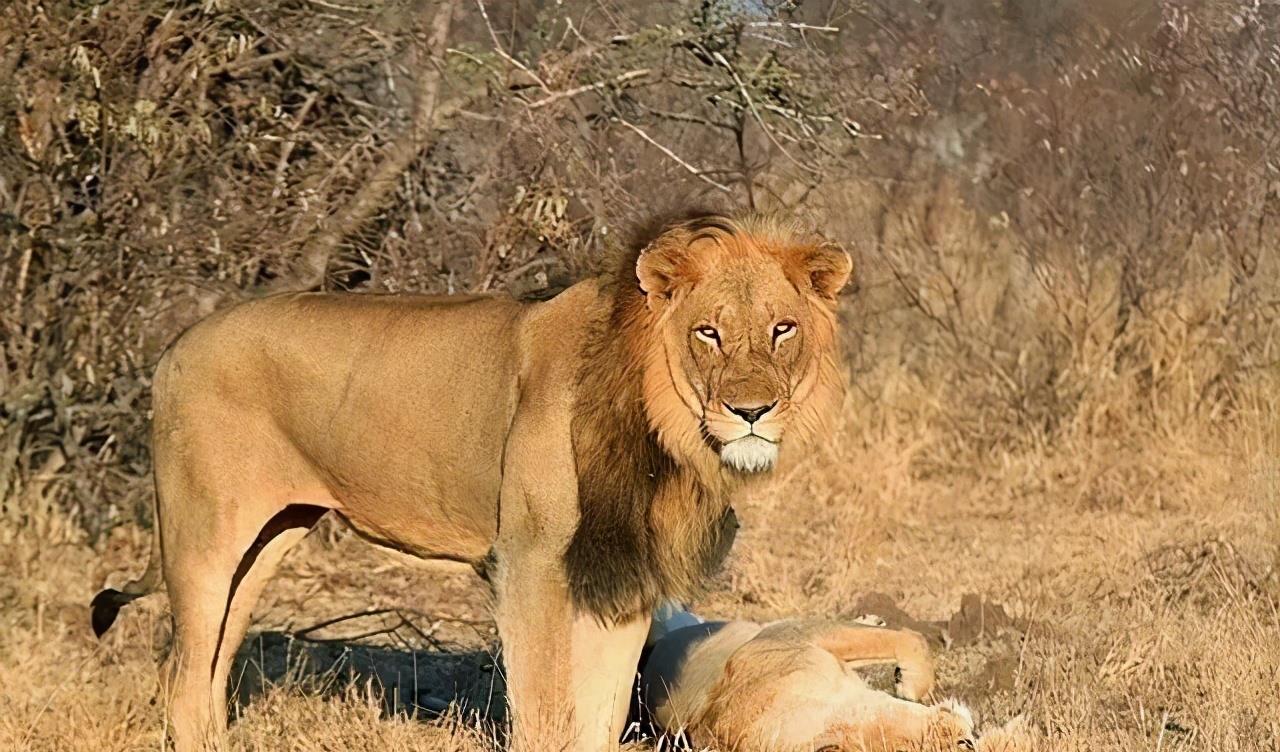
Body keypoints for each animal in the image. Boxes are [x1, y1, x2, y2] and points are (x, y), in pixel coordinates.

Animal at [90, 210, 852, 752]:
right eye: (707, 333)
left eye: (783, 330)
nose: (751, 411)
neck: (665, 438)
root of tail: (176, 346)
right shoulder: (529, 563)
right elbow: (545, 713)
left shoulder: (624, 577)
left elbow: (599, 717)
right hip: (204, 538)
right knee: (182, 677)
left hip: (269, 538)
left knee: (209, 666)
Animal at [640, 604, 979, 751]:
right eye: (962, 746)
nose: (969, 737)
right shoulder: (796, 635)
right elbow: (910, 638)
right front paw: (909, 685)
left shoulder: (796, 637)